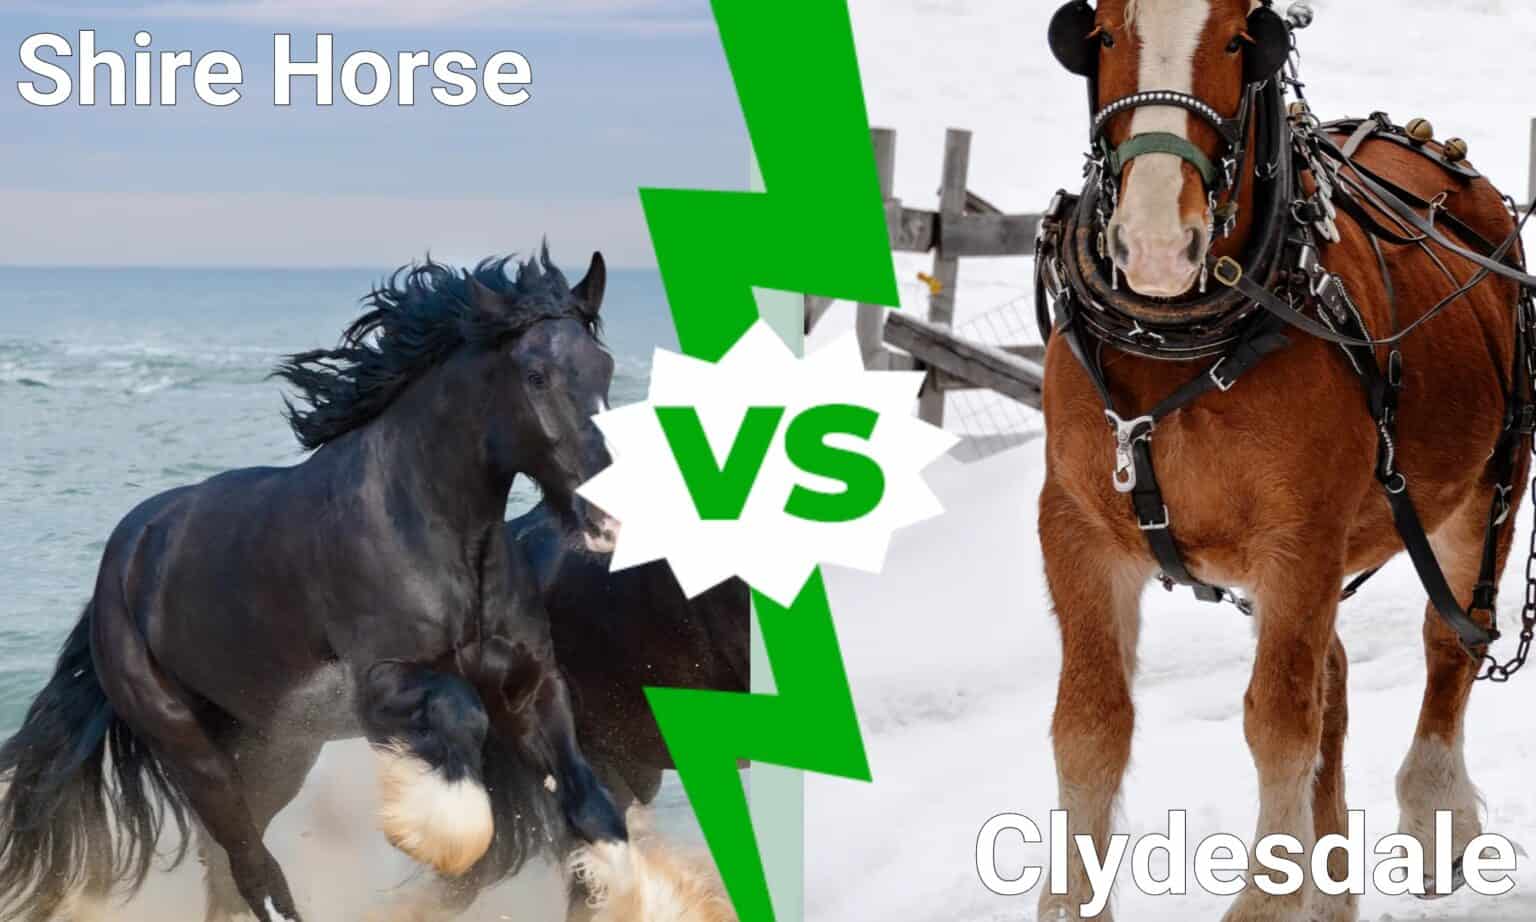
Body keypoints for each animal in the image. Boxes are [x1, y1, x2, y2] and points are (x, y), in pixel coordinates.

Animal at [0, 251, 629, 922]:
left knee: (228, 867)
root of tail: (123, 558)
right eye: (535, 375)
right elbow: (460, 713)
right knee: (251, 867)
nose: (610, 518)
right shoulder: (380, 687)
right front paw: (440, 828)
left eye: (605, 367)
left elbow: (590, 803)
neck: (431, 527)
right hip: (189, 747)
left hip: (273, 751)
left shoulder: (529, 683)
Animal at [1035, 2, 1534, 920]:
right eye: (1104, 35)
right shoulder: (1076, 530)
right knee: (1332, 678)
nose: (1157, 243)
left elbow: (1277, 721)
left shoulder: (1300, 540)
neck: (1179, 337)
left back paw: (1436, 811)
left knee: (1451, 641)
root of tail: (1425, 144)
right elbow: (1089, 726)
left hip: (1488, 484)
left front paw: (1270, 895)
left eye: (1240, 40)